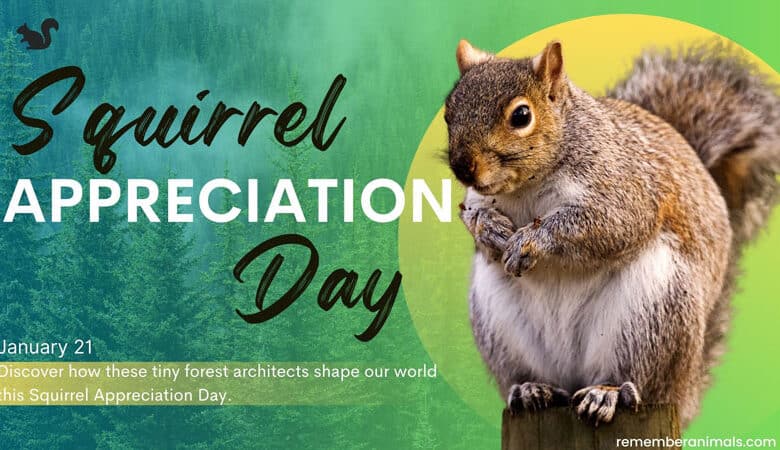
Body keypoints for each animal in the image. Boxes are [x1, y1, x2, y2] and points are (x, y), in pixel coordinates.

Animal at [445, 39, 779, 427]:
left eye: (521, 116)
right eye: (448, 112)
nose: (463, 167)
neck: (526, 187)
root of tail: (685, 391)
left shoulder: (623, 187)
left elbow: (606, 224)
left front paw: (530, 242)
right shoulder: (477, 196)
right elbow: (473, 213)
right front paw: (489, 229)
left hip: (652, 316)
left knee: (637, 380)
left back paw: (610, 393)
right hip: (500, 328)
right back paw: (532, 389)